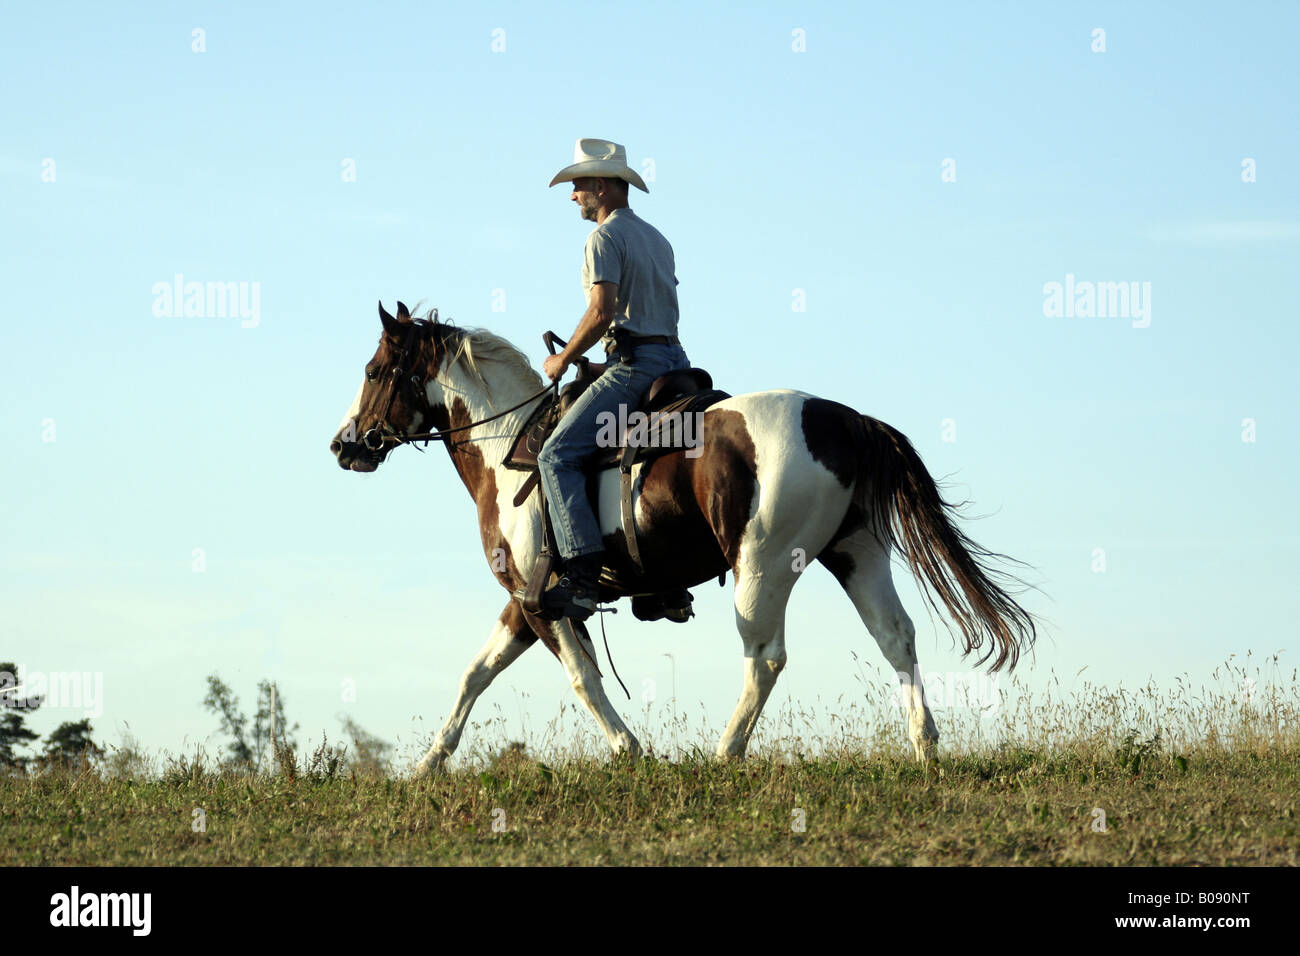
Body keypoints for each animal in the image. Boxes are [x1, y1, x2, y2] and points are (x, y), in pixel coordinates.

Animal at [330, 301, 1037, 774]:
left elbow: (582, 678)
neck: (509, 452)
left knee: (766, 656)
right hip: (856, 555)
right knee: (896, 637)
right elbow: (476, 673)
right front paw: (430, 764)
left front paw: (630, 750)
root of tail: (840, 418)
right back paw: (925, 747)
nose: (344, 445)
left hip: (763, 564)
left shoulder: (544, 601)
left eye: (374, 369)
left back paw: (726, 753)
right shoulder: (522, 601)